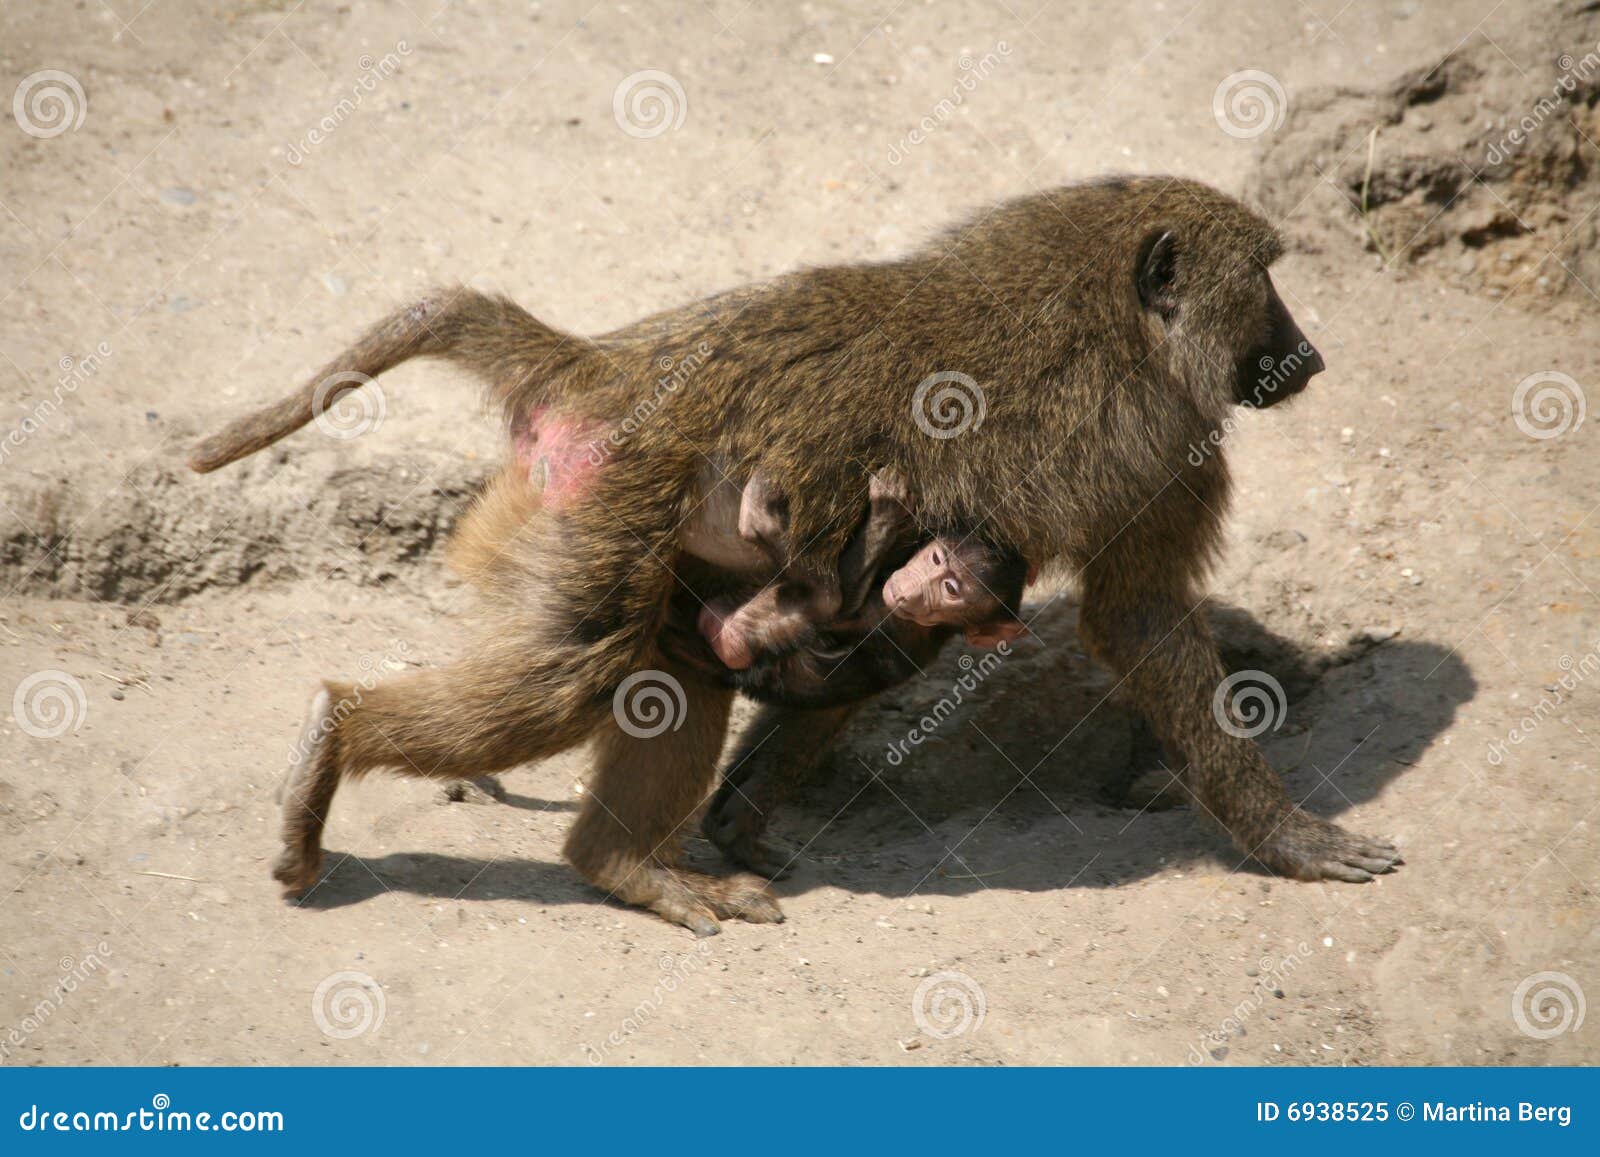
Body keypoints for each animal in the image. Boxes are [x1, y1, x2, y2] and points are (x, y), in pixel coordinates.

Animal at [190, 176, 1401, 936]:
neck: (1111, 304)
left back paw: (623, 864)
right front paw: (1289, 835)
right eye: (1268, 280)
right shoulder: (1162, 444)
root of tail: (606, 364)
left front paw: (742, 811)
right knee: (571, 677)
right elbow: (1140, 618)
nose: (1310, 355)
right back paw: (335, 736)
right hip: (617, 500)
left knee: (666, 682)